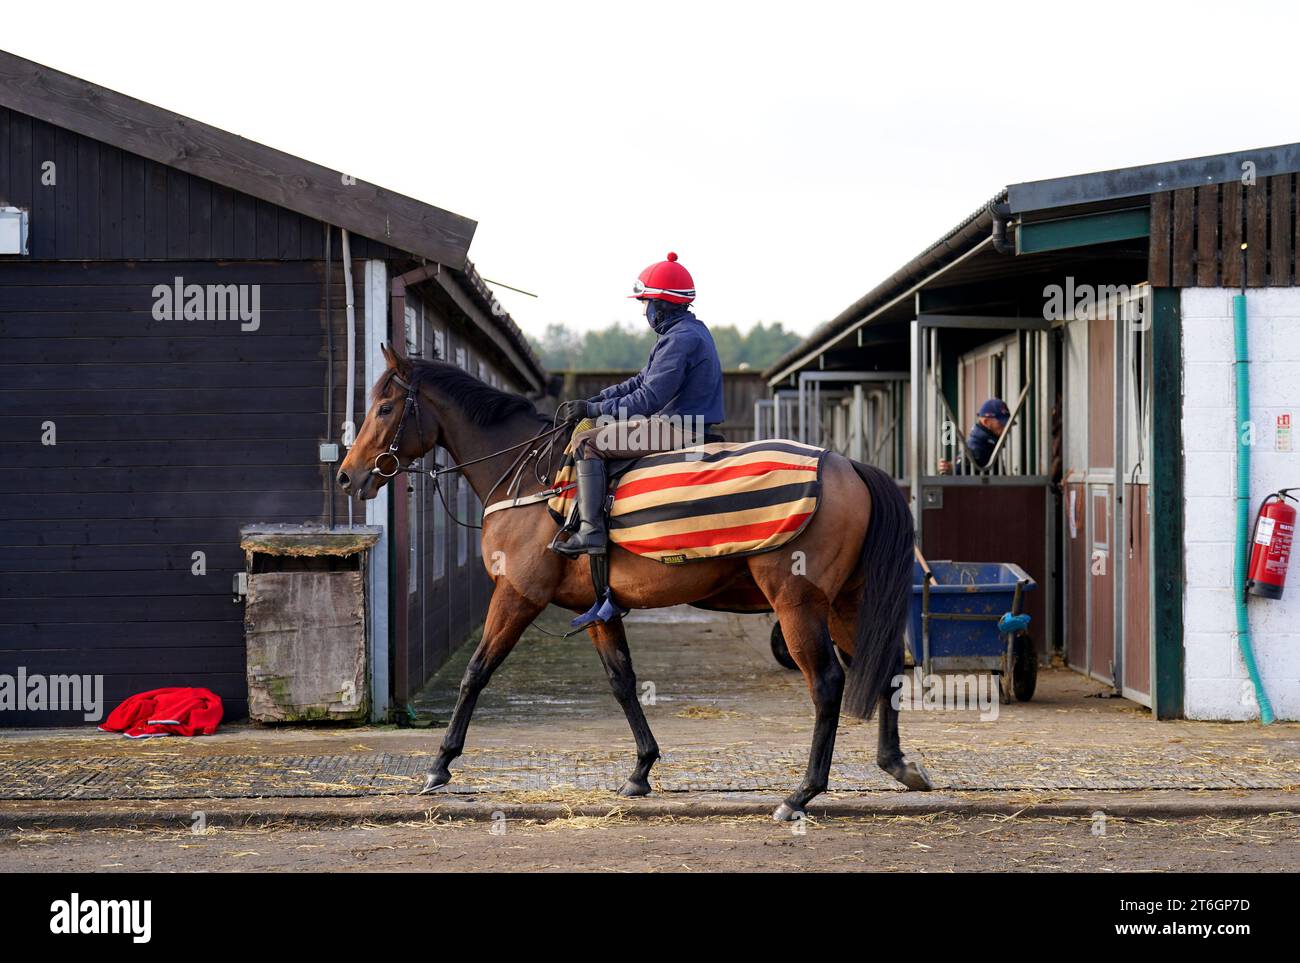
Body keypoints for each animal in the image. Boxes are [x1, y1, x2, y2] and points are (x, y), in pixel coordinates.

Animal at [336, 345, 932, 820]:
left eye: (385, 407)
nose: (347, 475)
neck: (531, 479)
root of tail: (846, 464)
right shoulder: (598, 608)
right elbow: (622, 681)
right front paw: (641, 769)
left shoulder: (518, 594)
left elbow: (476, 673)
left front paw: (439, 764)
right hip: (846, 602)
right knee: (885, 665)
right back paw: (897, 765)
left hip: (798, 602)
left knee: (828, 683)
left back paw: (801, 794)